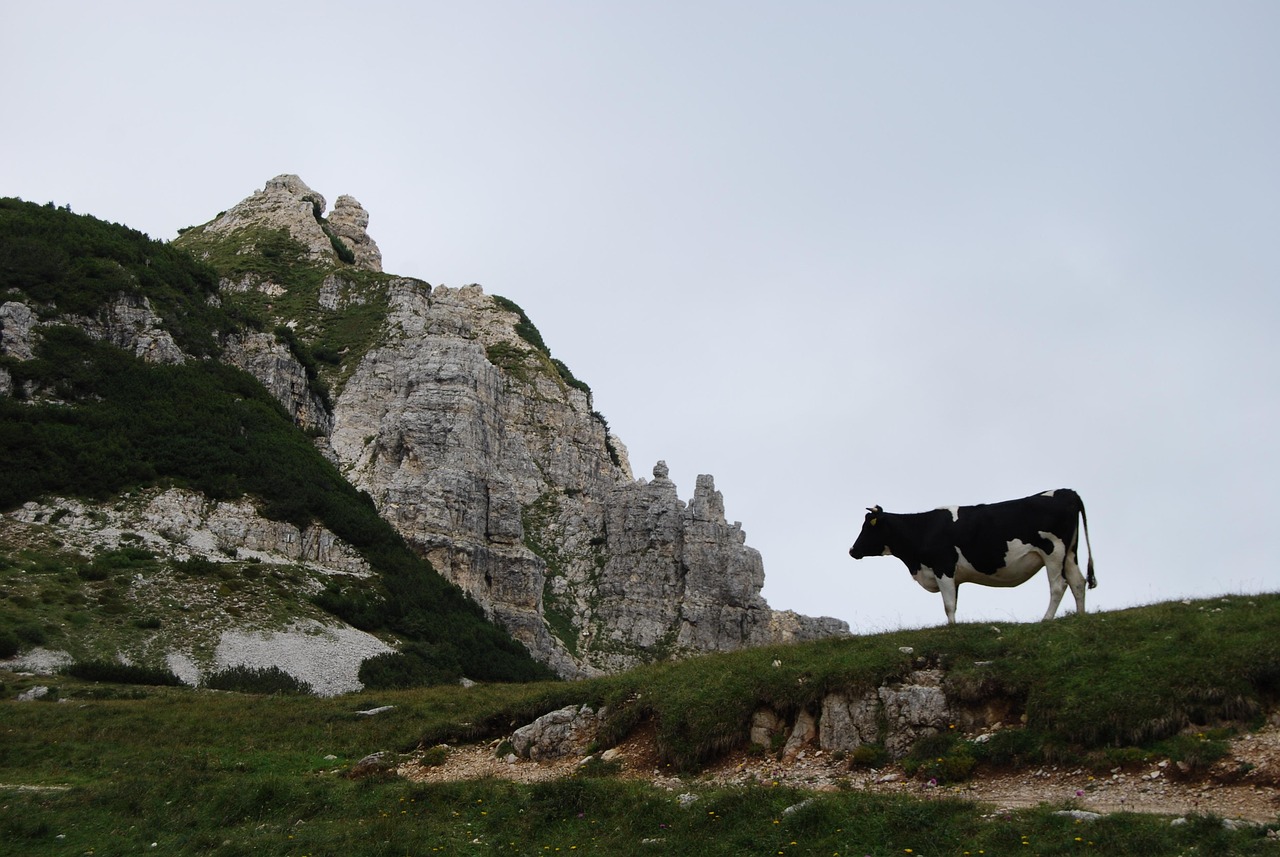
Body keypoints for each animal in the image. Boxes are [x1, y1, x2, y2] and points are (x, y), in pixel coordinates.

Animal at [848, 489, 1095, 624]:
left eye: (867, 528)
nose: (852, 550)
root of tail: (1067, 491)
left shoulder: (943, 566)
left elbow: (948, 605)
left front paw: (952, 628)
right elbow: (954, 603)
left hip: (1053, 551)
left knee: (1058, 585)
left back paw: (1046, 619)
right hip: (1070, 552)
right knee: (1078, 582)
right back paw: (1081, 617)